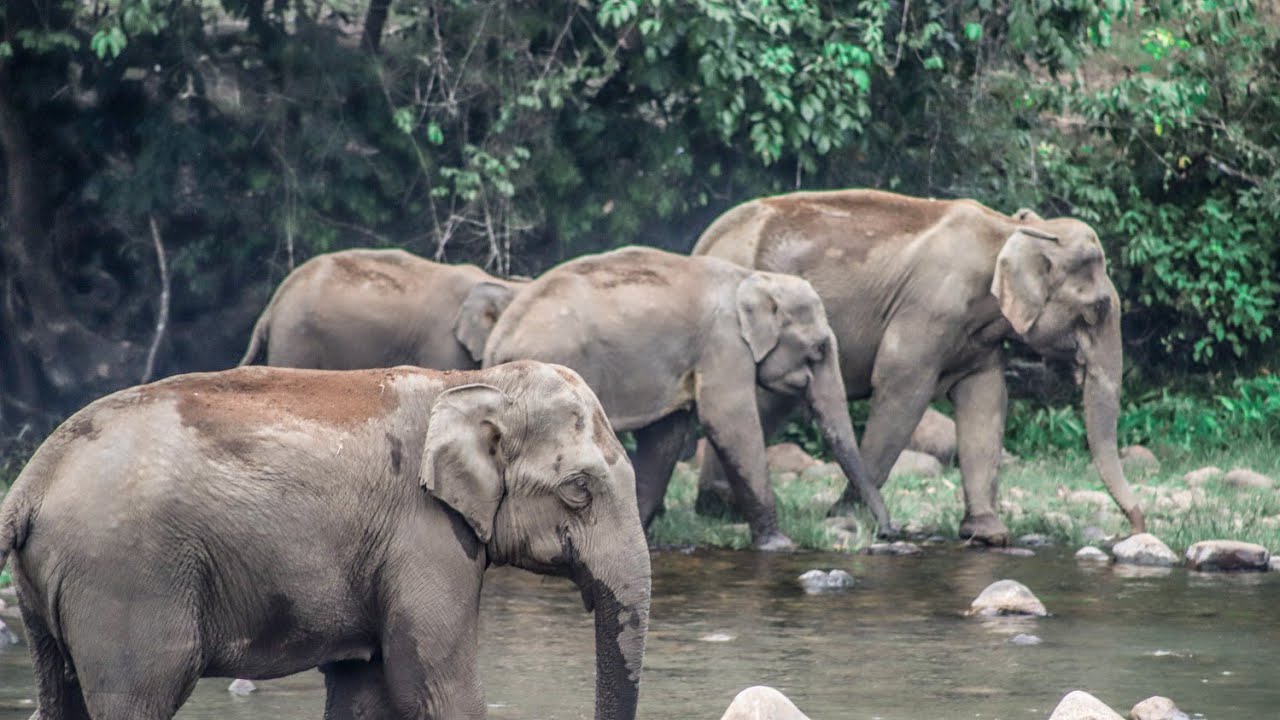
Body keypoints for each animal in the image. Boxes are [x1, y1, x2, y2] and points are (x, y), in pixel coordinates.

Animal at [0, 361, 649, 720]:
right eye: (578, 491)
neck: (468, 381)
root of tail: (31, 480)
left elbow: (366, 693)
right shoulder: (423, 535)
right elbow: (437, 689)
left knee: (60, 698)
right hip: (127, 578)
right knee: (136, 698)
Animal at [483, 246, 892, 551]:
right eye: (819, 348)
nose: (888, 532)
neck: (752, 277)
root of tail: (497, 342)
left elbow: (666, 436)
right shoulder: (724, 342)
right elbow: (729, 420)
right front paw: (779, 545)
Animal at [691, 189, 1145, 545]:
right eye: (1097, 310)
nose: (1136, 527)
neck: (1007, 231)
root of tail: (705, 241)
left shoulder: (978, 337)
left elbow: (986, 398)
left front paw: (987, 533)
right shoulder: (928, 309)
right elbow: (903, 390)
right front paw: (849, 517)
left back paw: (717, 509)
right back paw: (722, 508)